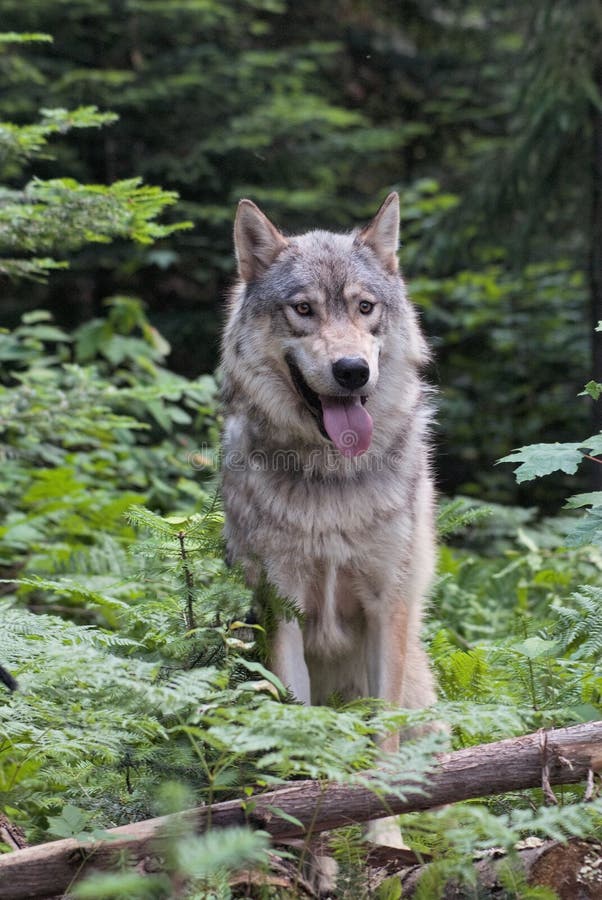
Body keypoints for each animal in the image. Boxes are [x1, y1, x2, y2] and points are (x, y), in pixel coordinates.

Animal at [220, 193, 437, 892]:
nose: (351, 371)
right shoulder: (283, 612)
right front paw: (314, 856)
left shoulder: (386, 611)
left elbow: (381, 747)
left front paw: (386, 845)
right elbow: (301, 739)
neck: (331, 482)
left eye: (365, 308)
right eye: (304, 309)